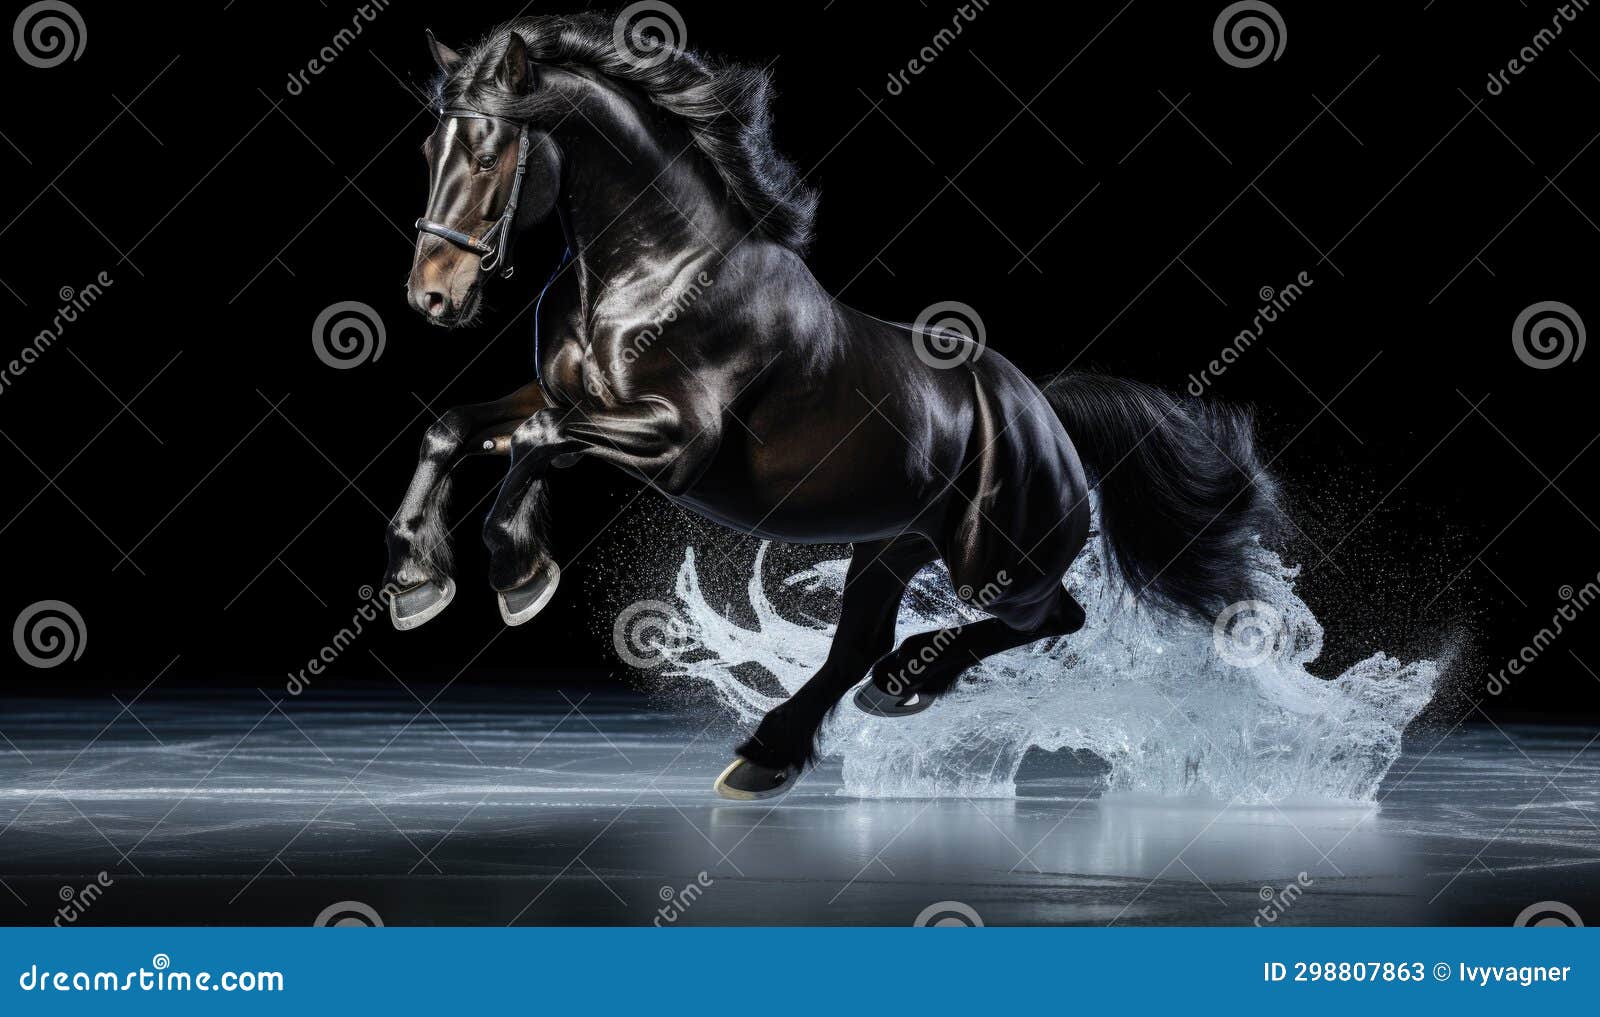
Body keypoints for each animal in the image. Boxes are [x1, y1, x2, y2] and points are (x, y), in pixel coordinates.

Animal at [385, 13, 1277, 800]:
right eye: (430, 148)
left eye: (488, 151)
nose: (433, 296)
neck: (654, 275)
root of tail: (1046, 412)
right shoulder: (565, 399)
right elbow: (453, 428)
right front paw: (418, 583)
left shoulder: (673, 443)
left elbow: (536, 443)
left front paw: (519, 574)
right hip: (891, 544)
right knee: (859, 643)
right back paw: (775, 753)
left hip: (994, 561)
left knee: (1054, 614)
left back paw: (898, 685)